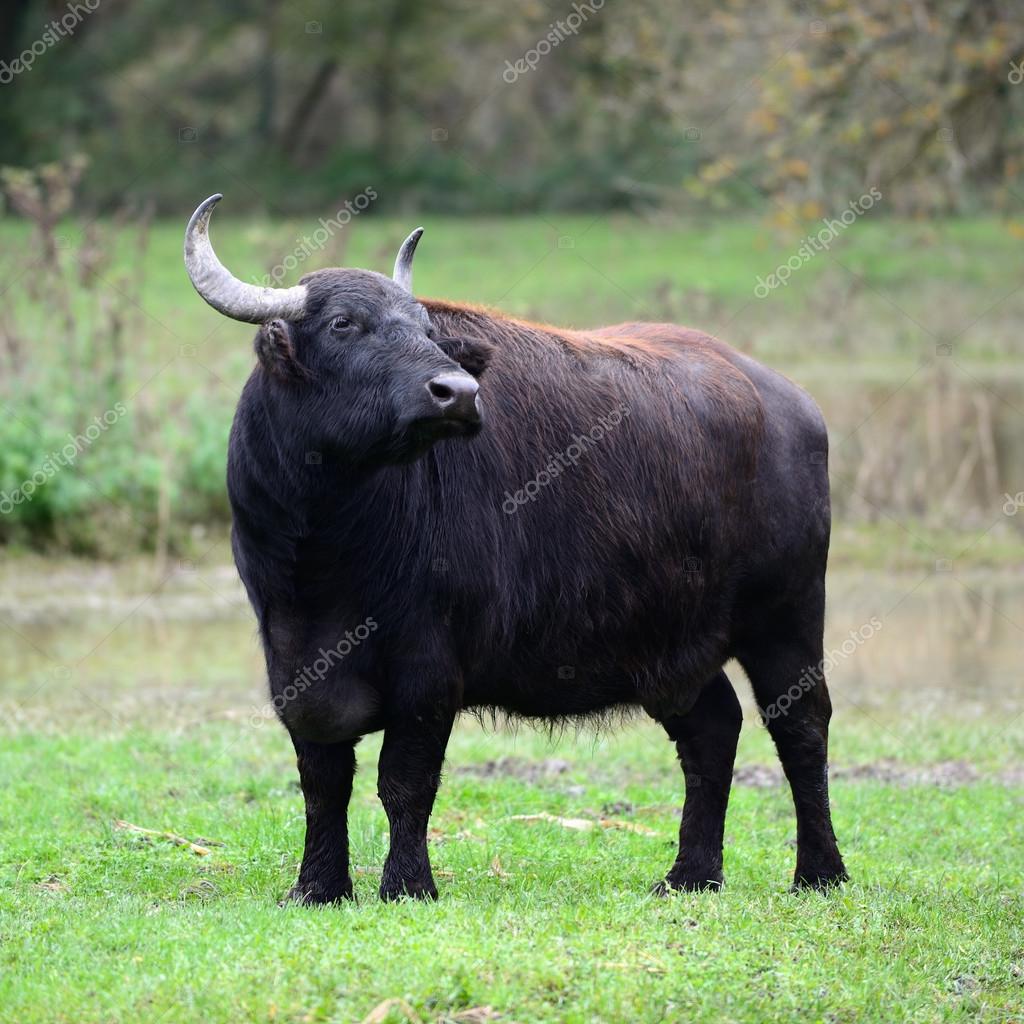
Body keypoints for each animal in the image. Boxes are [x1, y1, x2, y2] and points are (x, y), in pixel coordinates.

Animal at [184, 194, 847, 902]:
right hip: (672, 644)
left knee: (802, 726)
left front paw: (408, 885)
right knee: (713, 730)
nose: (456, 393)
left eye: (425, 329)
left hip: (786, 614)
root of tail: (794, 407)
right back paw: (690, 875)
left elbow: (405, 782)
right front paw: (318, 887)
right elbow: (322, 783)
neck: (328, 549)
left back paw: (819, 873)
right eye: (342, 324)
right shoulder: (293, 661)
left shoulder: (430, 666)